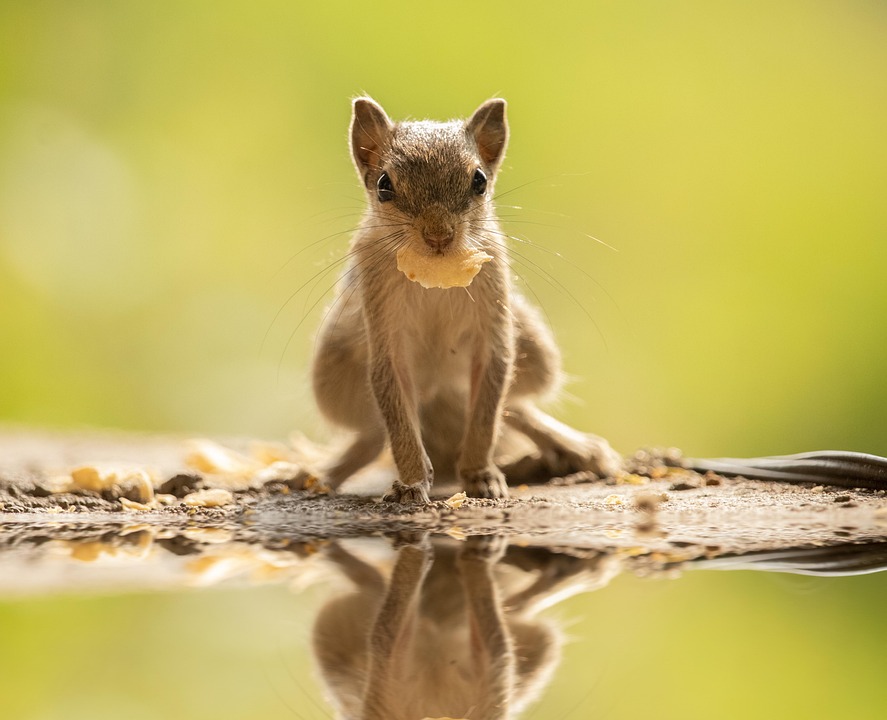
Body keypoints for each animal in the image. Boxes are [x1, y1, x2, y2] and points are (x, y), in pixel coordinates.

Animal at [312, 97, 622, 504]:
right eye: (383, 185)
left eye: (480, 181)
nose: (438, 236)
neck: (435, 275)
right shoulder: (383, 327)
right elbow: (396, 414)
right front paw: (412, 483)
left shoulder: (493, 324)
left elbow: (490, 408)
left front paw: (480, 475)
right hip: (334, 372)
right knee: (374, 434)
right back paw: (316, 474)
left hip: (535, 349)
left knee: (515, 407)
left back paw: (579, 449)